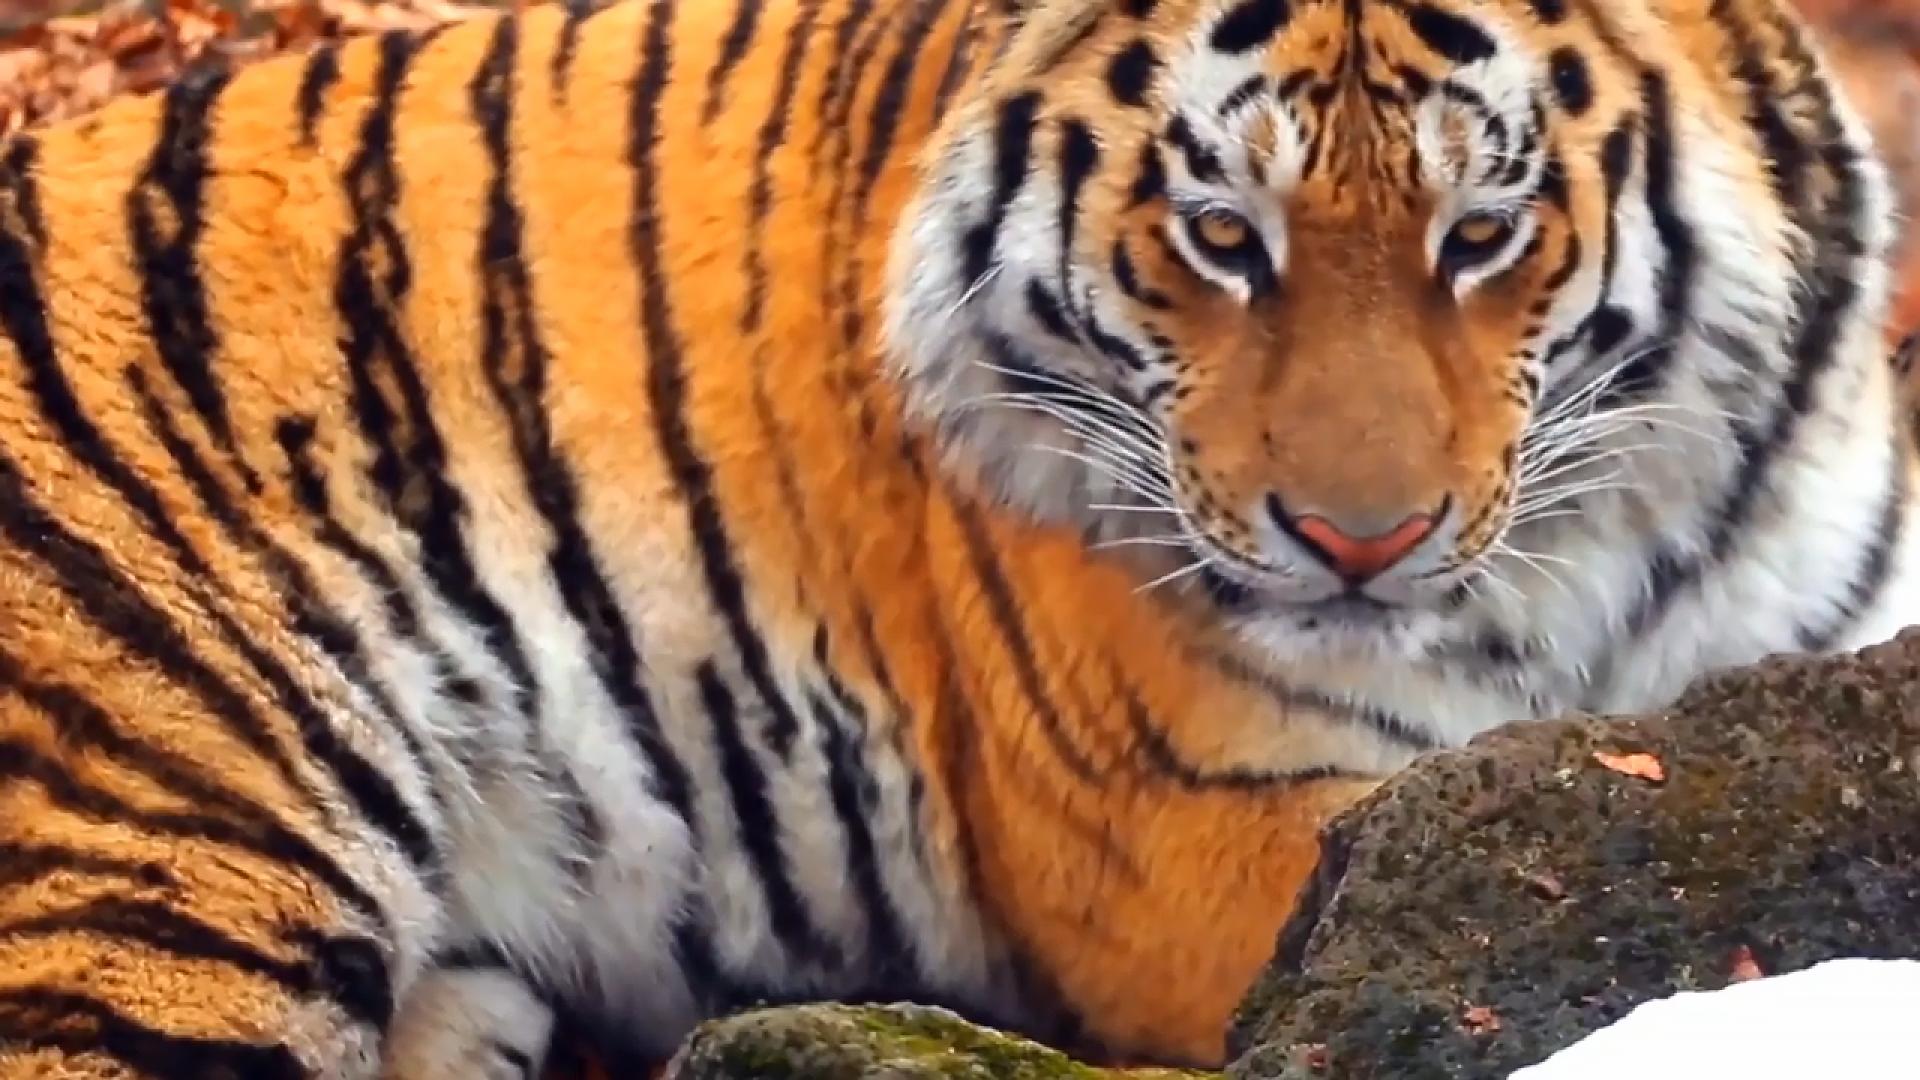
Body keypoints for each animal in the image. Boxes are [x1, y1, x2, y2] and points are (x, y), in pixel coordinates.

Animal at [0, 0, 1913, 1074]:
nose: (1355, 546)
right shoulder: (1215, 836)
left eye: (1484, 232)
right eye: (1223, 236)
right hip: (173, 839)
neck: (1619, 548)